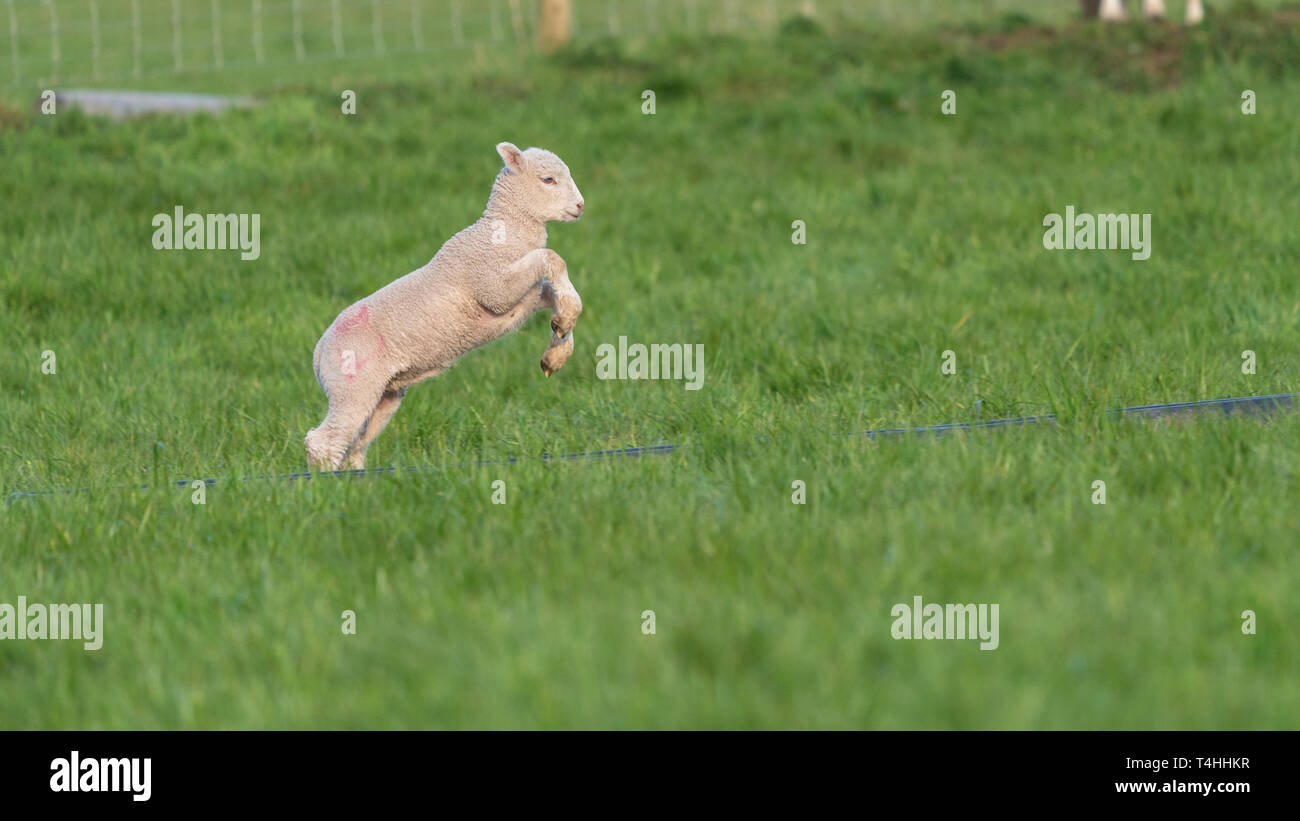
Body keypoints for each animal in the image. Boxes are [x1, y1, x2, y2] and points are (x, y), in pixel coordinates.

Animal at [304, 142, 585, 471]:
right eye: (548, 180)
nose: (581, 206)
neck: (503, 234)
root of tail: (319, 350)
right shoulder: (491, 284)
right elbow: (552, 258)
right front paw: (563, 325)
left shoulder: (526, 295)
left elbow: (553, 291)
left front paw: (560, 339)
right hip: (351, 385)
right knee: (324, 442)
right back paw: (326, 480)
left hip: (382, 393)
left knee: (355, 445)